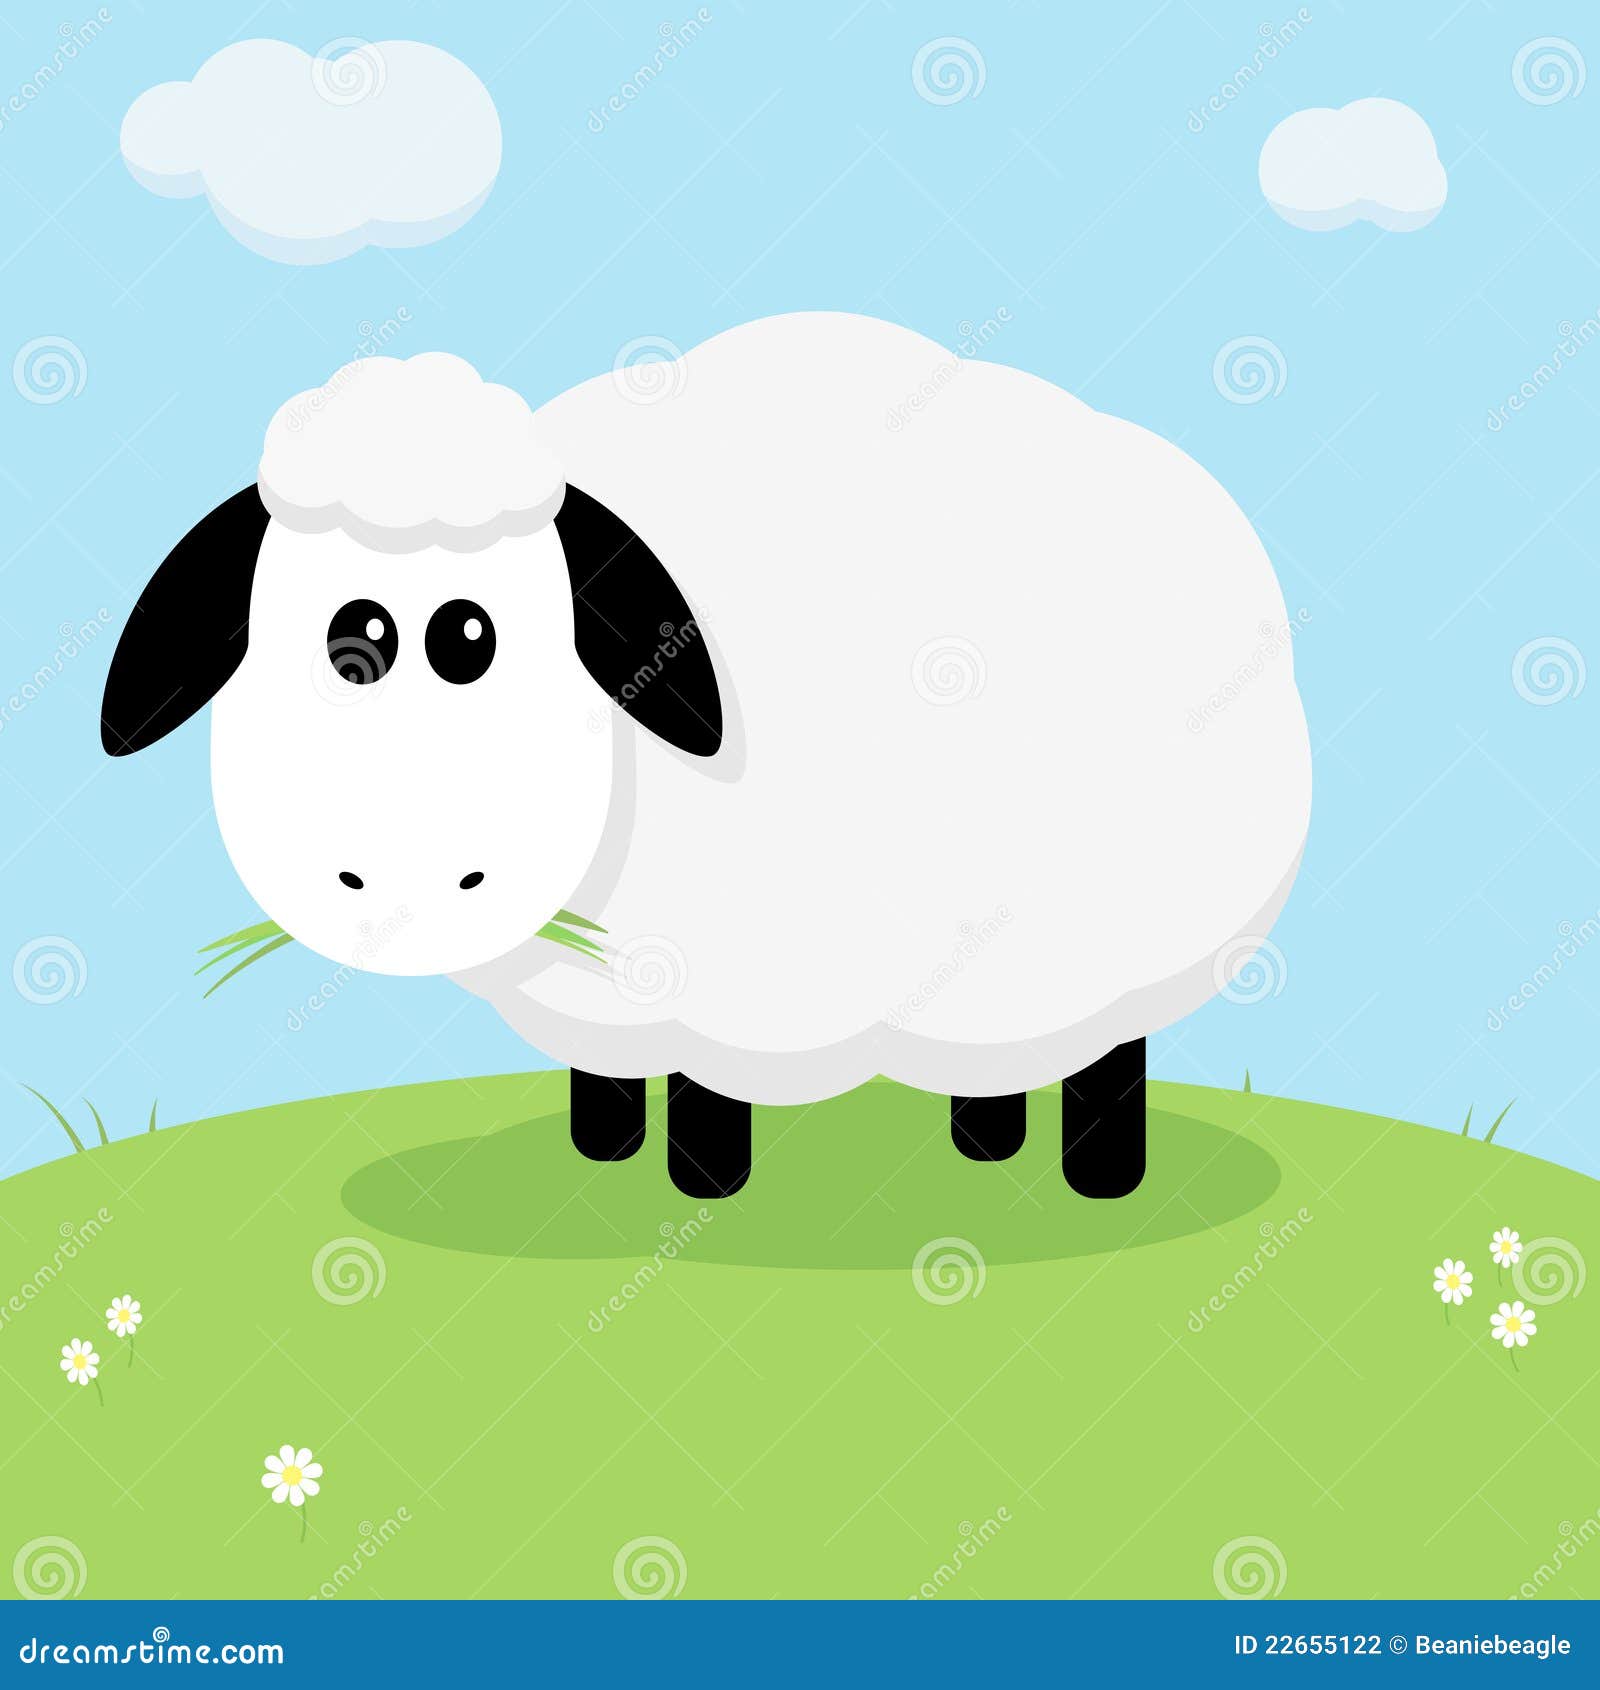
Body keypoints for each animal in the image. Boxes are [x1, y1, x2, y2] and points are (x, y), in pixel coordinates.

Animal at [101, 314, 1310, 1200]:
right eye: (346, 641)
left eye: (466, 637)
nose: (398, 880)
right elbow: (605, 1083)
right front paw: (599, 1153)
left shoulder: (731, 982)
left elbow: (705, 1102)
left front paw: (704, 1184)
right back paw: (985, 1140)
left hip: (1120, 943)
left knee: (1109, 1059)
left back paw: (1094, 1178)